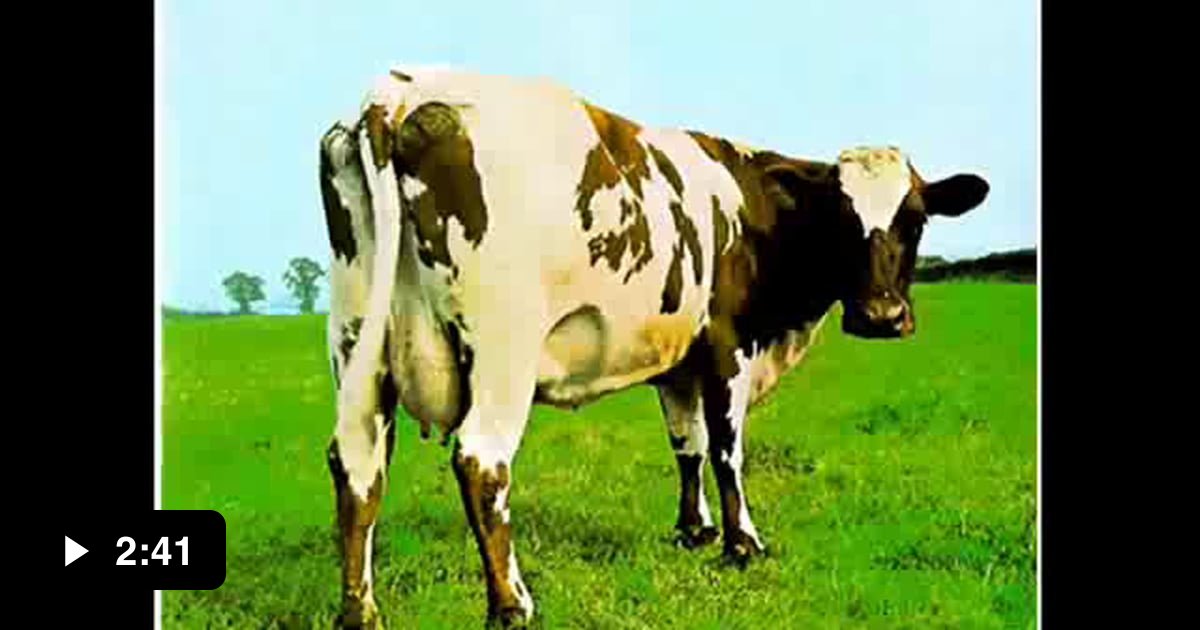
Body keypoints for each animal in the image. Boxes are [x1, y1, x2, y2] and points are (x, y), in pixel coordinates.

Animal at [318, 65, 988, 628]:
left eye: (915, 219)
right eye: (841, 218)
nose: (881, 316)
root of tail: (400, 91)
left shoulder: (677, 364)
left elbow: (687, 445)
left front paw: (694, 531)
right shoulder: (727, 347)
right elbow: (727, 449)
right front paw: (742, 543)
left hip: (357, 340)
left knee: (356, 461)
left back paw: (360, 611)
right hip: (503, 349)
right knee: (481, 461)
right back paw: (512, 605)